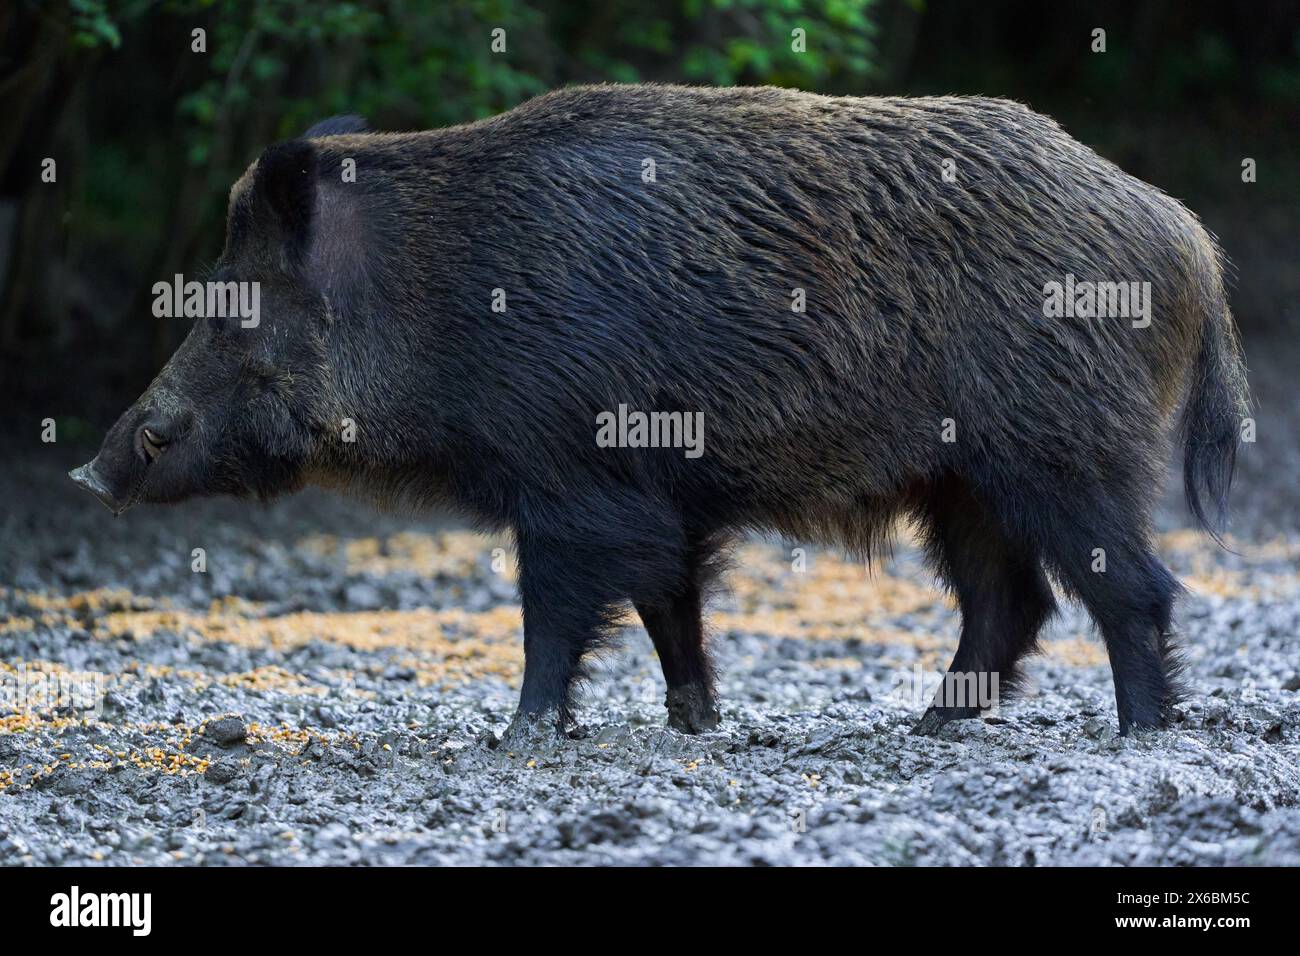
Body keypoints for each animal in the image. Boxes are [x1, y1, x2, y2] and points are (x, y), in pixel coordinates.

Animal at [70, 84, 1250, 744]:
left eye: (234, 309)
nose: (94, 467)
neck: (434, 290)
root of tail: (1183, 233)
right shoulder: (656, 499)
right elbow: (667, 607)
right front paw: (694, 726)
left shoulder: (571, 481)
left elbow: (557, 614)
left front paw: (516, 738)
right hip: (961, 481)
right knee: (1012, 599)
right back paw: (931, 726)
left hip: (1063, 451)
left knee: (1131, 585)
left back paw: (1139, 735)